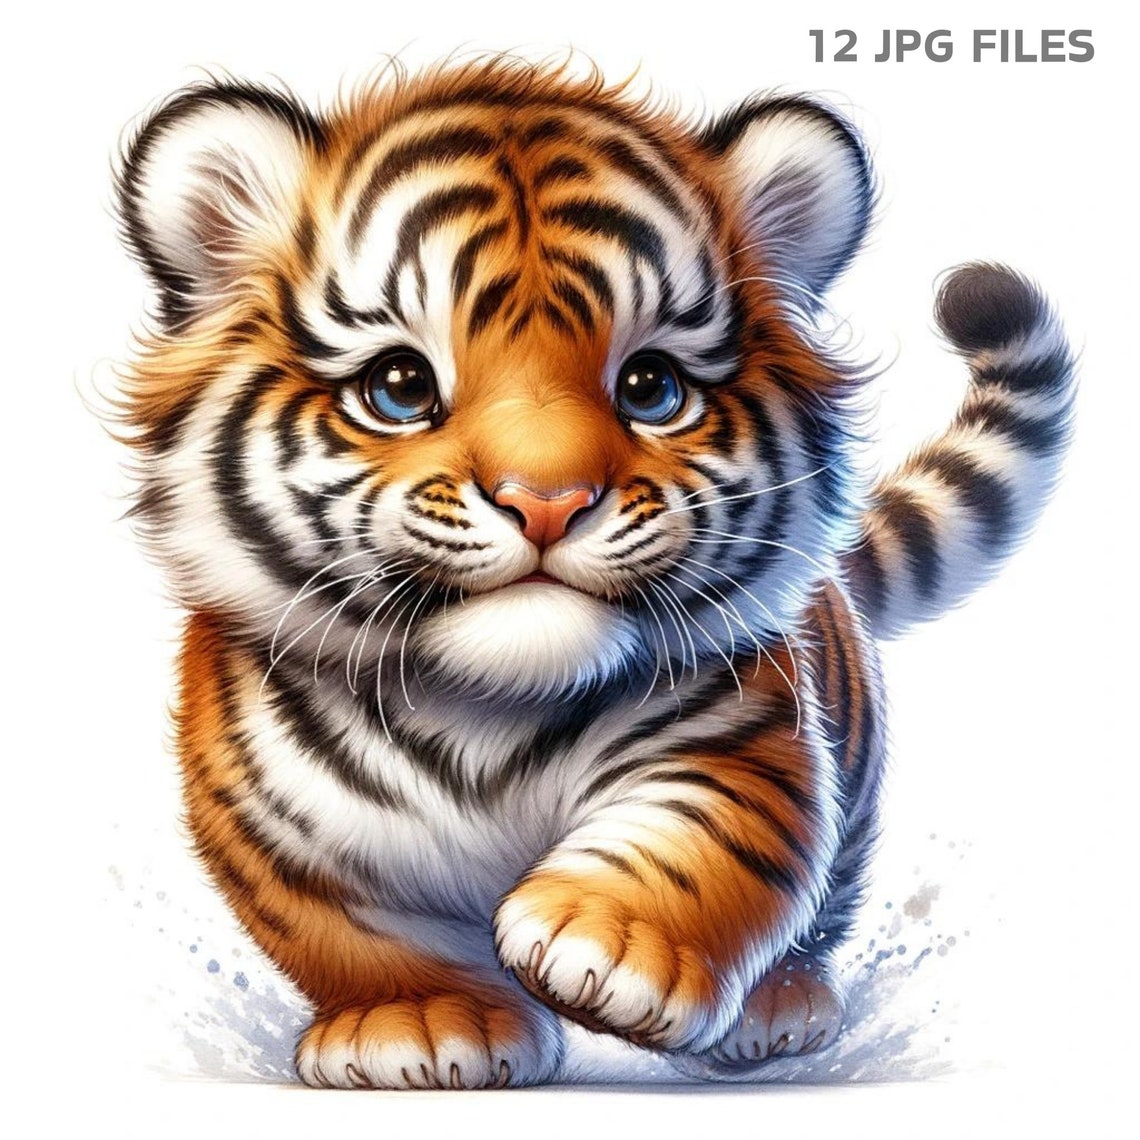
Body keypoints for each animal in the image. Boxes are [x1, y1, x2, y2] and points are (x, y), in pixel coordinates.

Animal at [111, 57, 1076, 1089]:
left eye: (651, 388)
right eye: (400, 387)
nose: (547, 500)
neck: (485, 715)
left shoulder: (743, 733)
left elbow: (705, 839)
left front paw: (604, 949)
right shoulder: (275, 822)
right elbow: (349, 932)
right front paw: (424, 1023)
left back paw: (775, 1008)